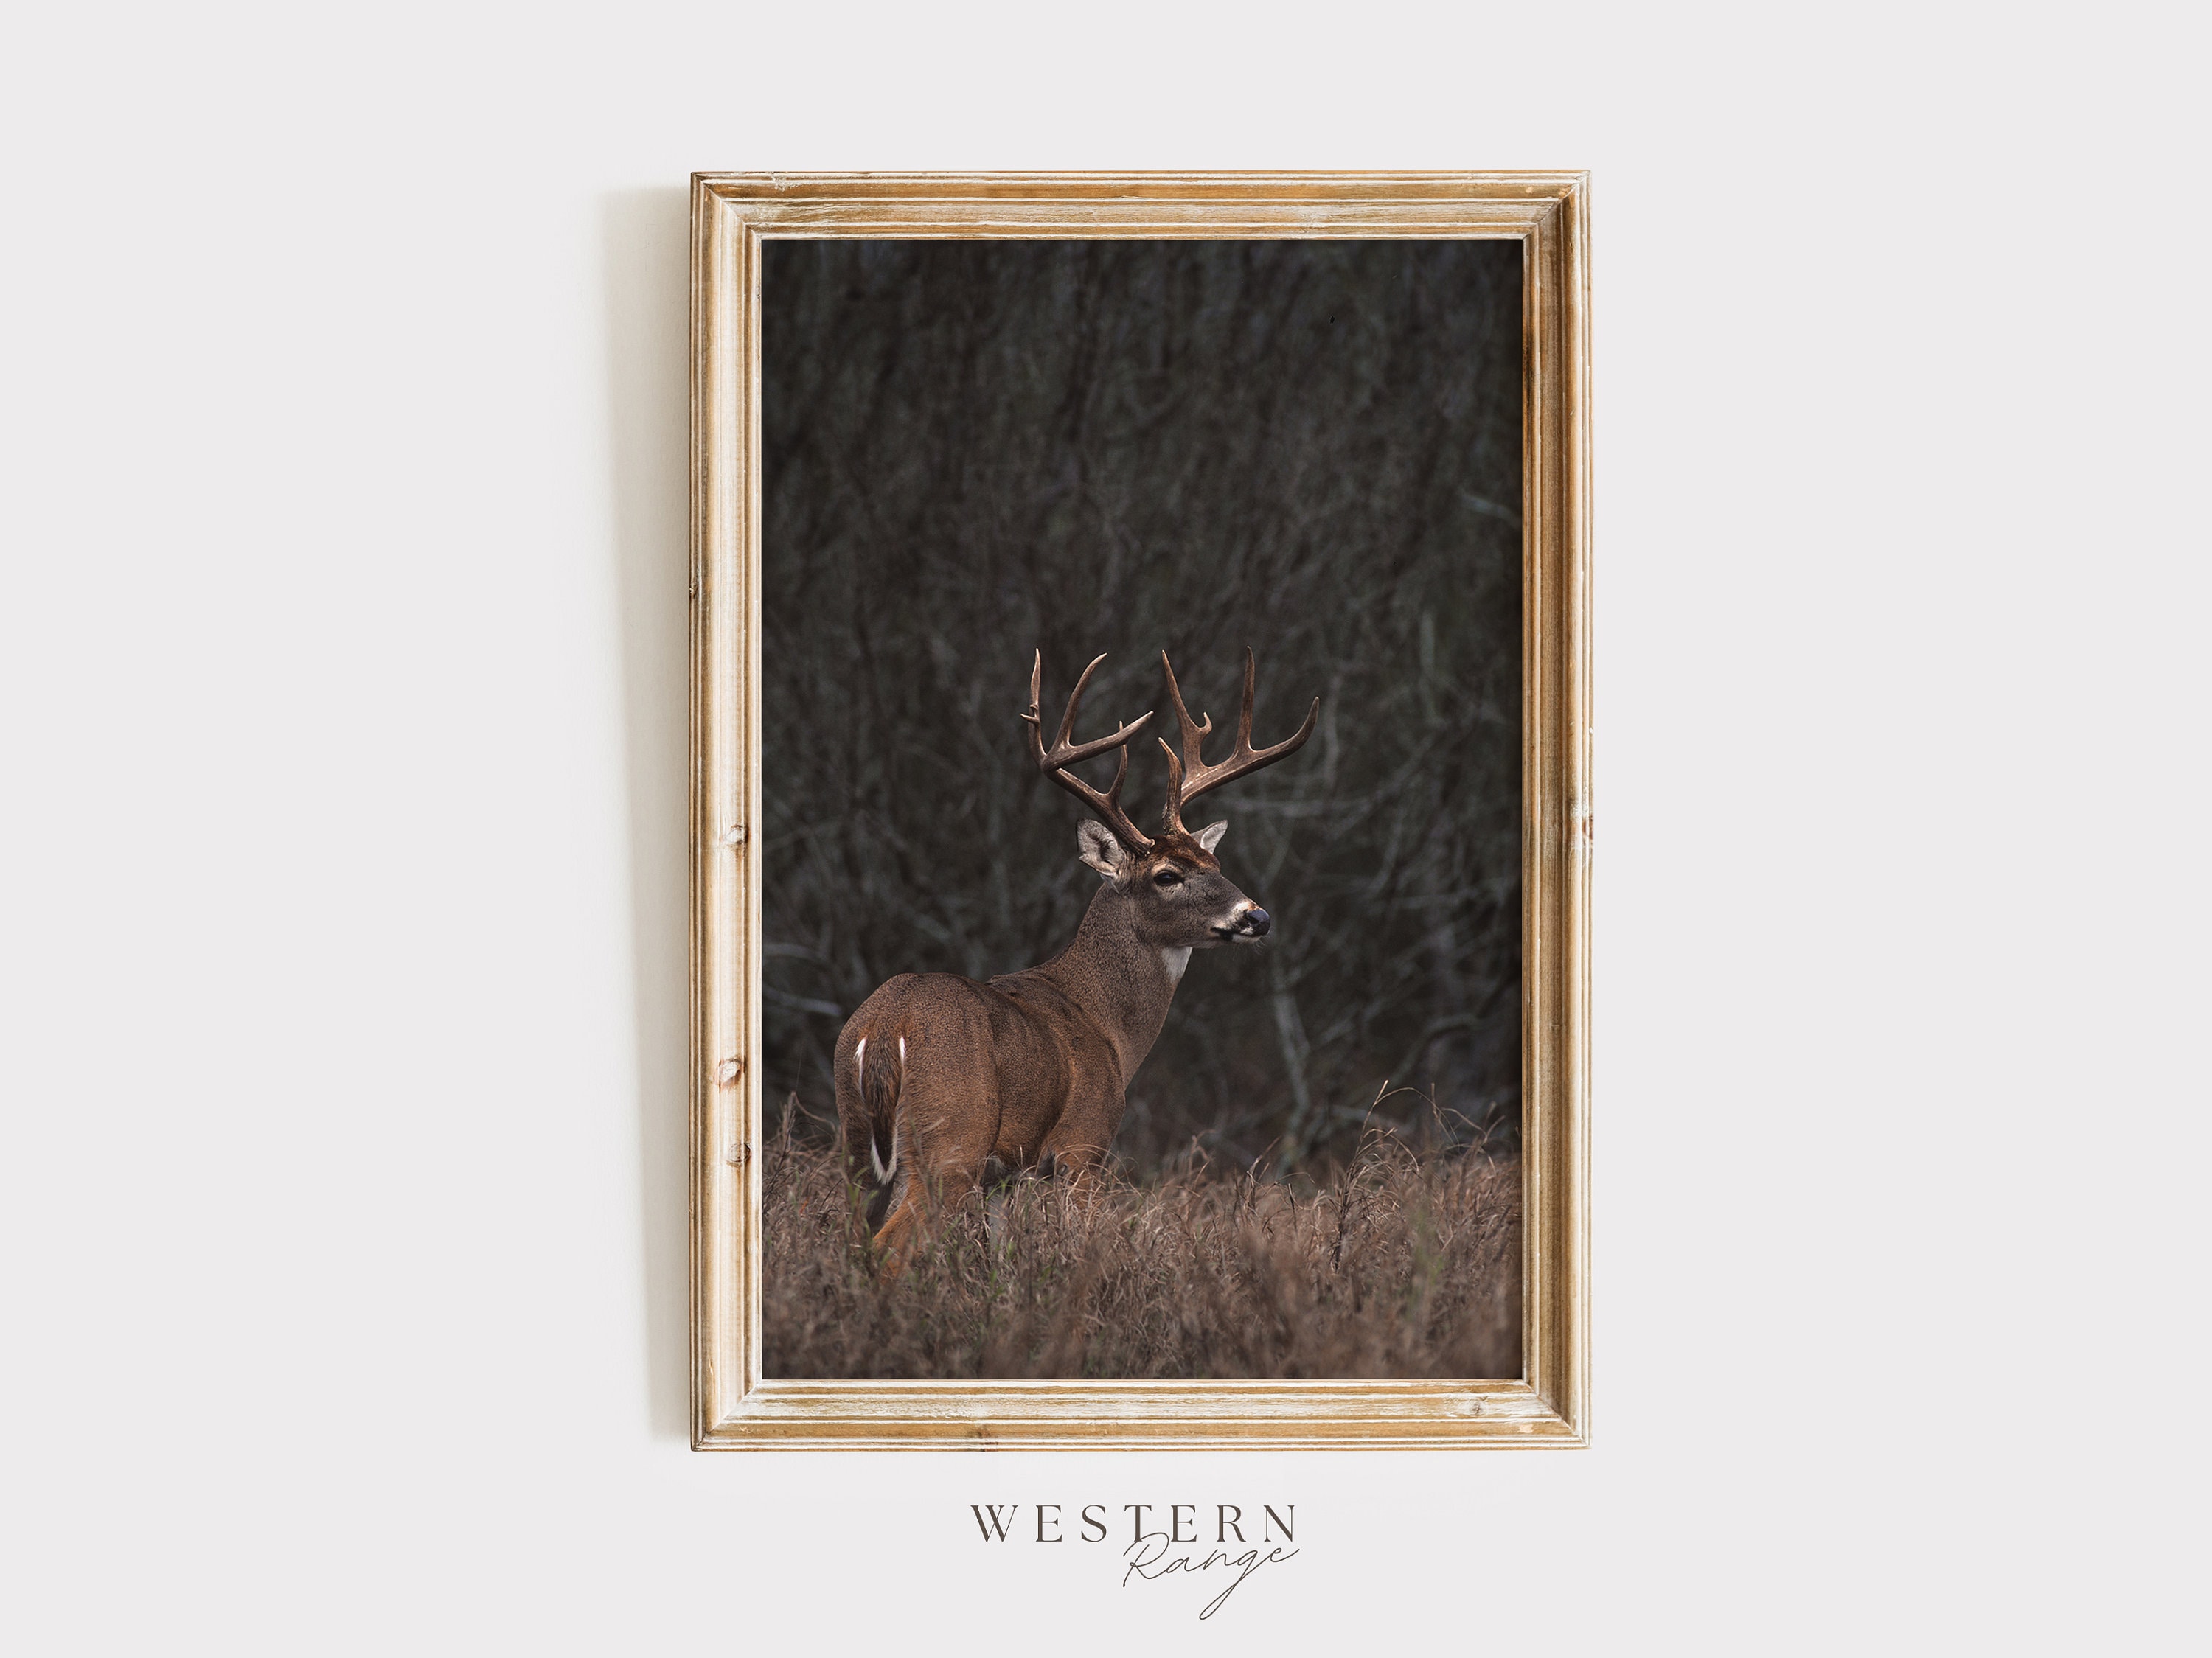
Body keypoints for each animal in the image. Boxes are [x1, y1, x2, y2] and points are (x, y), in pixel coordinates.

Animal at [833, 646, 1318, 1274]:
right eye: (1167, 875)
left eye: (1214, 862)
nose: (1256, 916)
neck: (1106, 1024)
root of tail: (885, 1025)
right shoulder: (1083, 1144)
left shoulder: (1005, 1175)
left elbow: (1003, 1257)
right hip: (950, 1140)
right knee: (890, 1247)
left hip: (855, 1143)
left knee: (848, 1239)